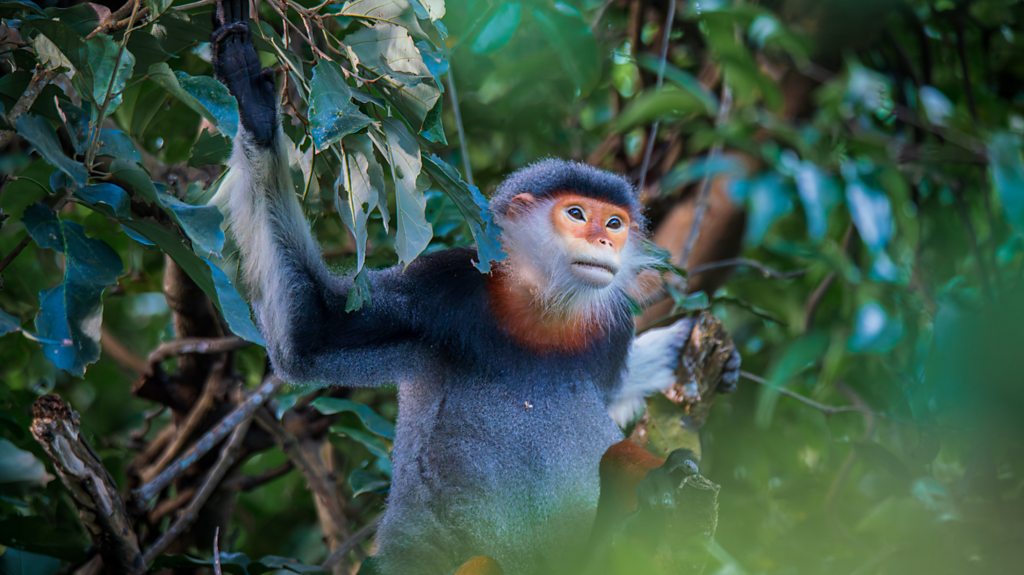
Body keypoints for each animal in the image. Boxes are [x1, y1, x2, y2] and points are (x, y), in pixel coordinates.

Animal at [209, 2, 738, 573]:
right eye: (577, 214)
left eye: (615, 223)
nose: (603, 239)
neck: (538, 308)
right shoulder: (445, 284)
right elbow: (311, 333)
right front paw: (255, 108)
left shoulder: (609, 326)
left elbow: (613, 392)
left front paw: (688, 348)